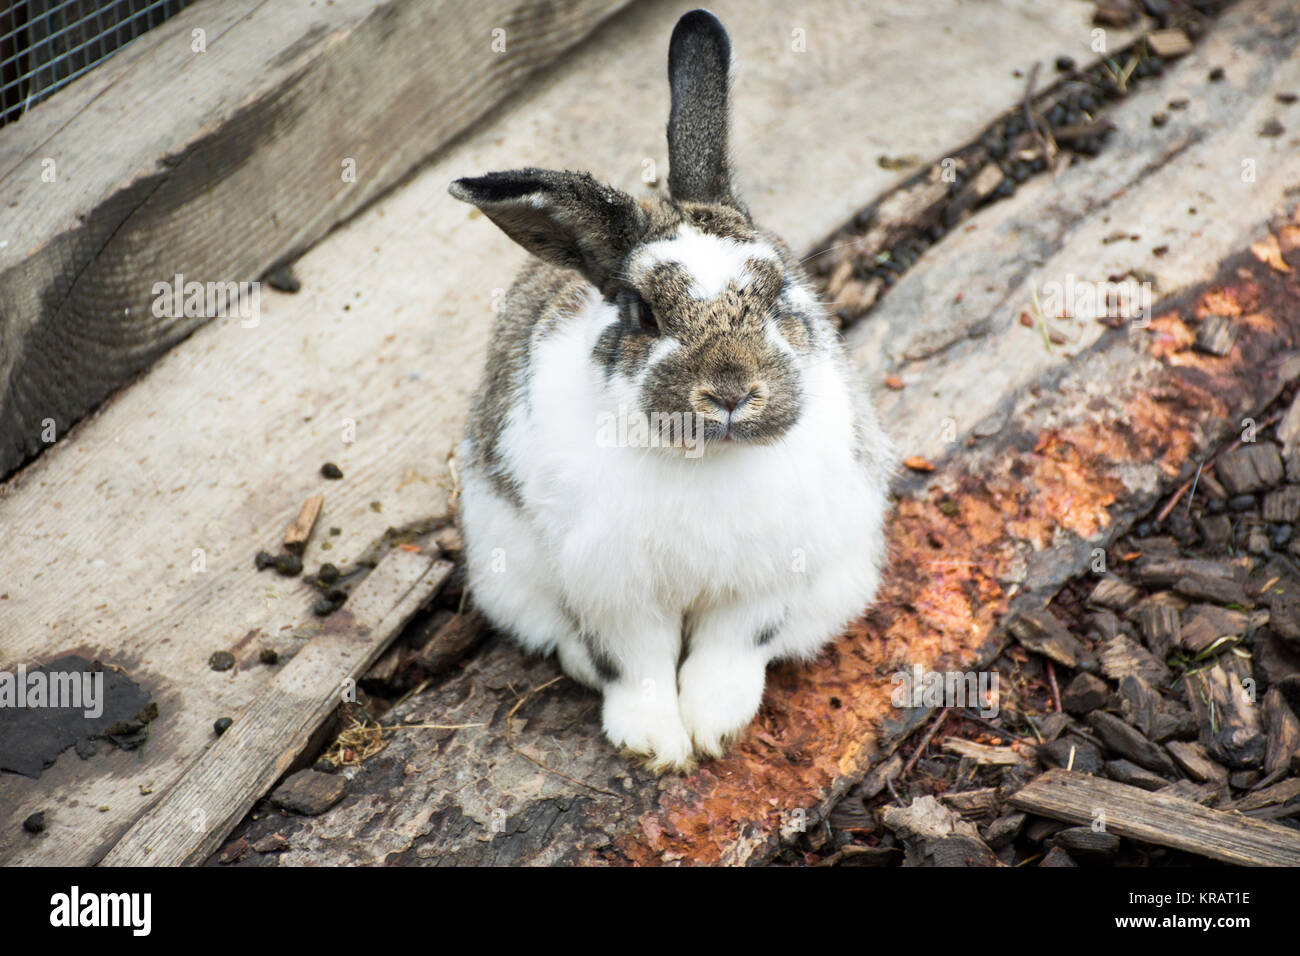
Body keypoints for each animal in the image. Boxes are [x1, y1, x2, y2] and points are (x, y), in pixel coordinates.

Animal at [448, 8, 894, 772]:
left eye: (779, 293)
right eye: (644, 314)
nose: (730, 392)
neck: (705, 460)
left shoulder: (763, 584)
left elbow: (729, 652)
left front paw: (716, 729)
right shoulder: (611, 591)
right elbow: (636, 666)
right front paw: (655, 744)